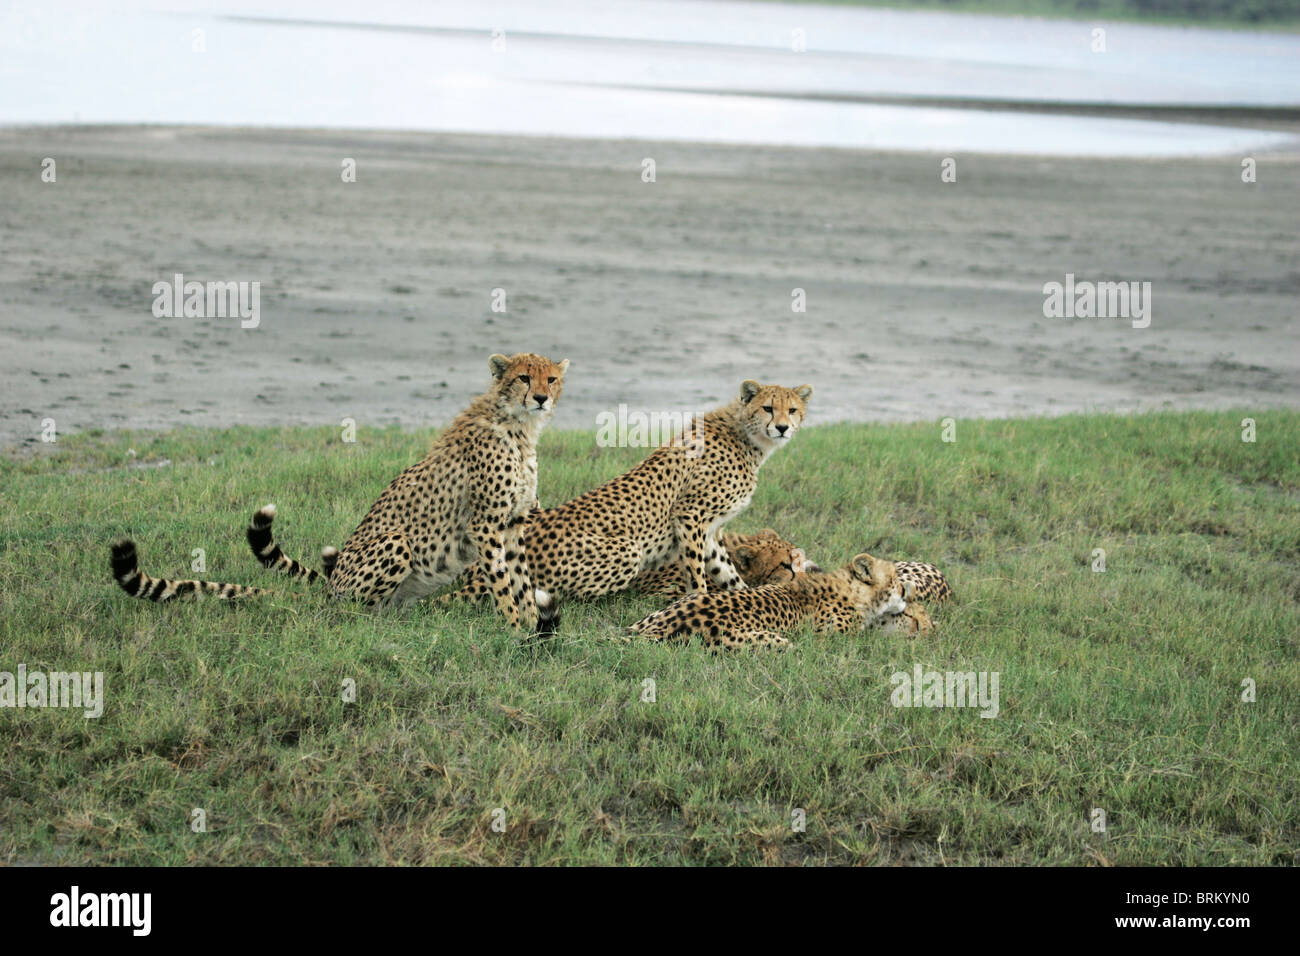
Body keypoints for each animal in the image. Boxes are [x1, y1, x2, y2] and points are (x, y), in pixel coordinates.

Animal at [110, 352, 567, 631]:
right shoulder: (486, 525)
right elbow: (503, 583)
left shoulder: (514, 524)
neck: (520, 428)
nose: (541, 398)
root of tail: (328, 593)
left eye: (552, 378)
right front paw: (515, 629)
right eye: (523, 377)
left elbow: (521, 579)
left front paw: (532, 625)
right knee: (354, 611)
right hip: (394, 543)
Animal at [436, 380, 813, 615]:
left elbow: (727, 571)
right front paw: (699, 601)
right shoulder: (690, 517)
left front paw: (742, 596)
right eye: (768, 408)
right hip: (628, 551)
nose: (782, 427)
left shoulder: (710, 530)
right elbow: (696, 572)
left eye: (792, 410)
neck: (748, 439)